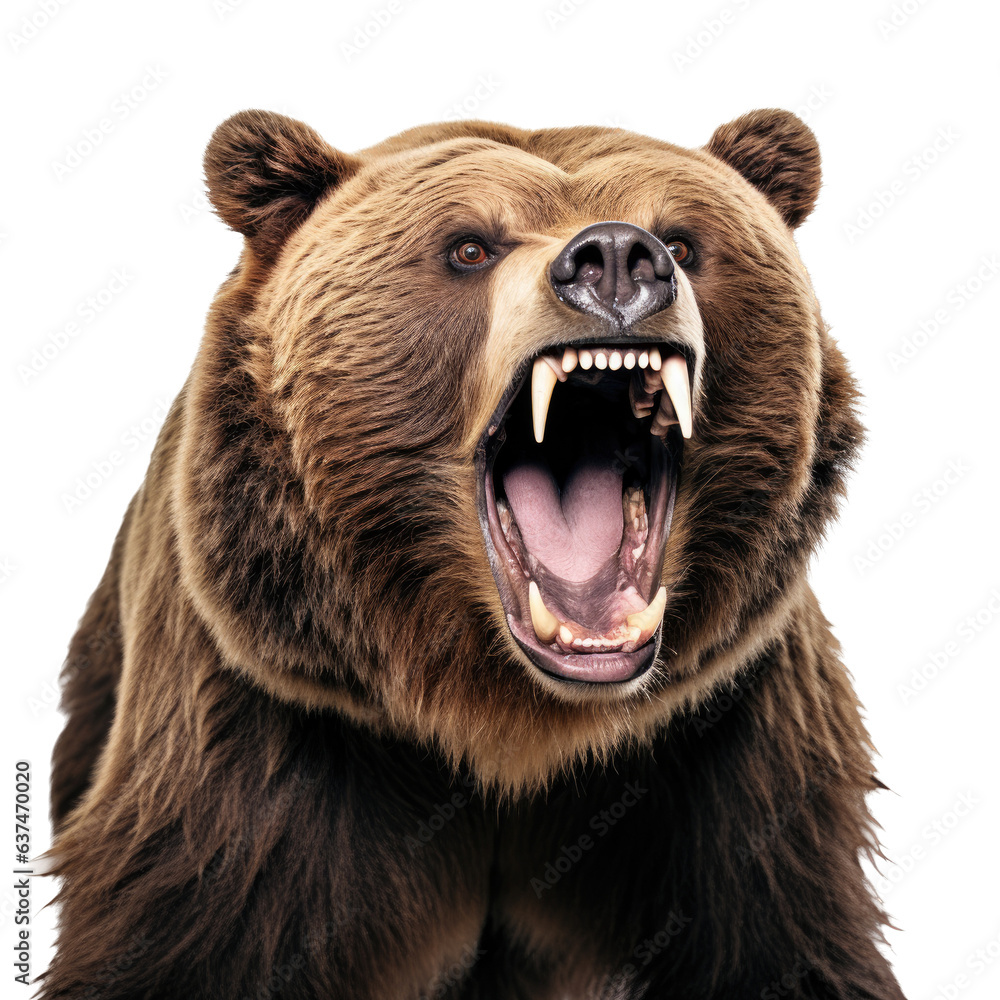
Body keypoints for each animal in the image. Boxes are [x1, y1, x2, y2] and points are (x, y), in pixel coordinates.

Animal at [42, 108, 906, 999]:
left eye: (685, 239)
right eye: (468, 247)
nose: (617, 258)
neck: (509, 723)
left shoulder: (730, 770)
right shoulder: (260, 745)